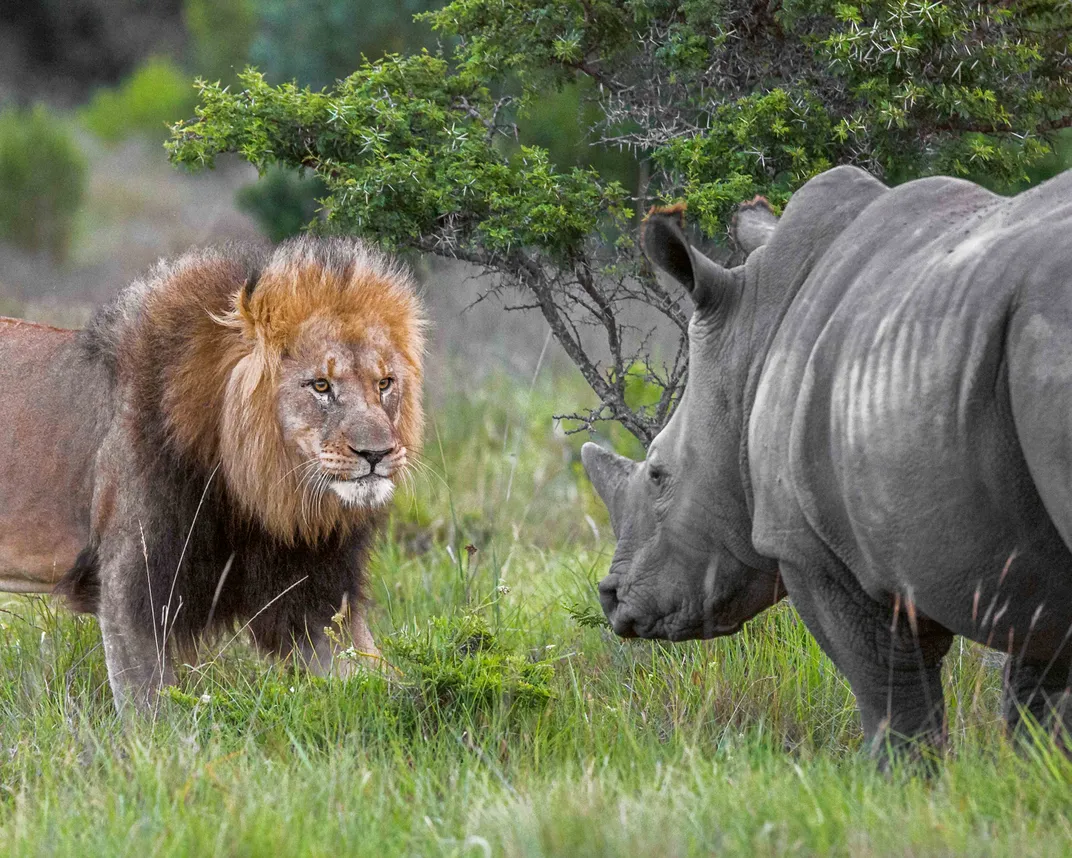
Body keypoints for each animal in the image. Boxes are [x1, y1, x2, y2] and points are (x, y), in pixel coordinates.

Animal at [0, 236, 425, 712]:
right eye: (320, 386)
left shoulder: (314, 592)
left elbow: (388, 683)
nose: (377, 453)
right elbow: (150, 712)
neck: (263, 498)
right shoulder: (133, 588)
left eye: (385, 383)